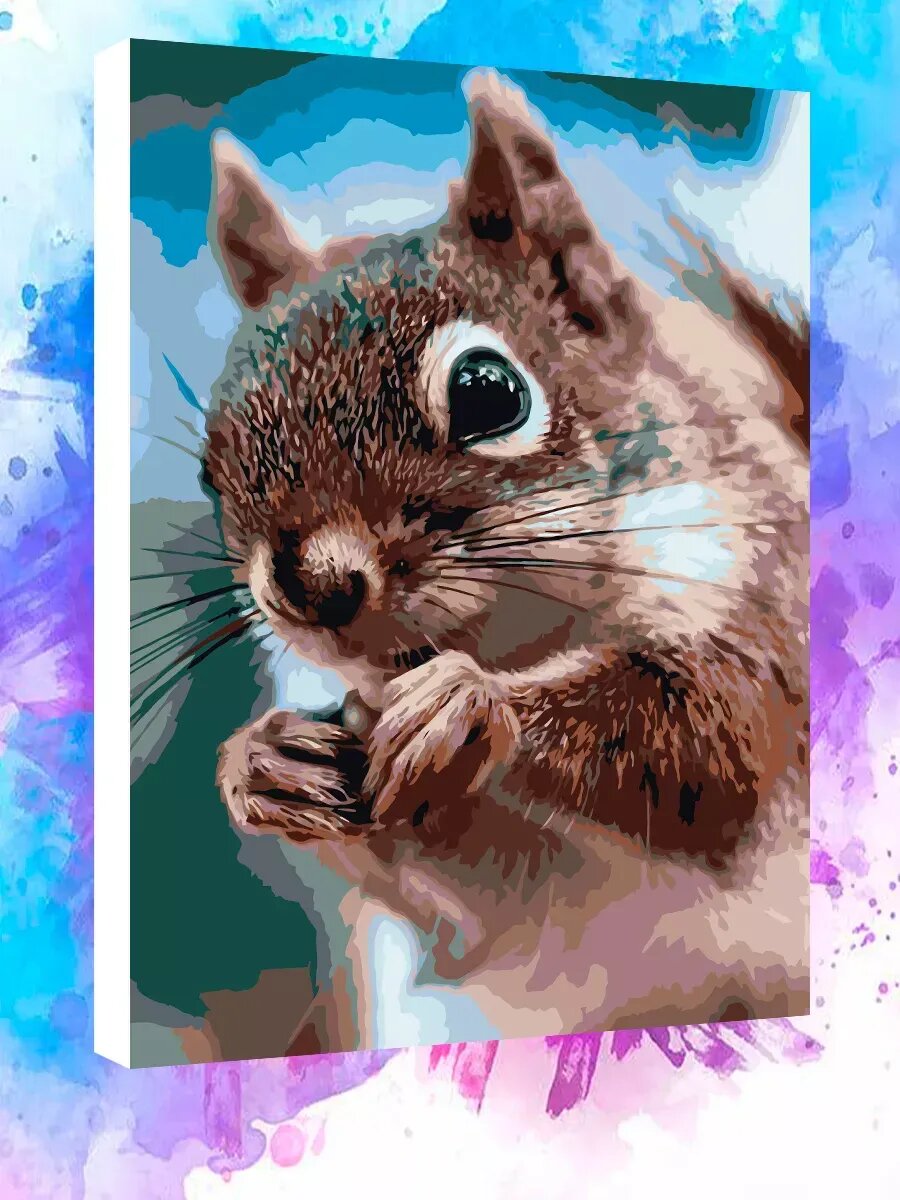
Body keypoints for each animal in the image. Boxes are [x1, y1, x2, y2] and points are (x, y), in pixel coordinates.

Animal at [201, 69, 809, 1050]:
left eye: (489, 392)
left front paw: (471, 708)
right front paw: (261, 764)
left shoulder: (758, 579)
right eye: (210, 459)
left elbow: (718, 733)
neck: (522, 631)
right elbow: (465, 896)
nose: (309, 588)